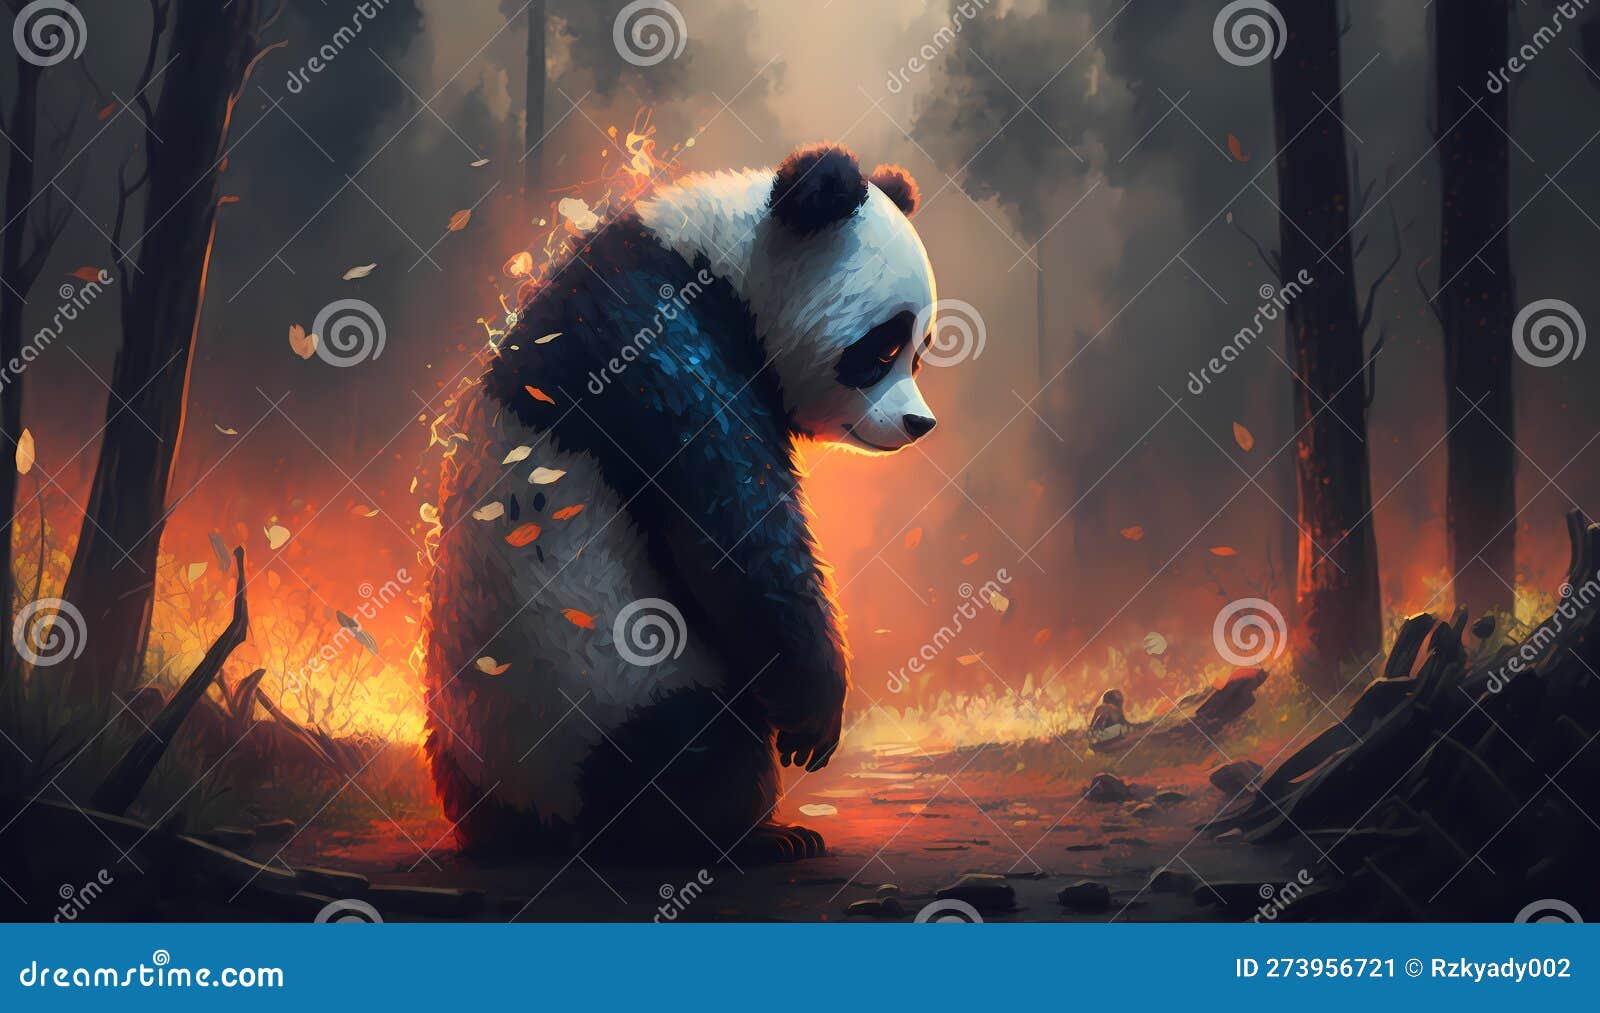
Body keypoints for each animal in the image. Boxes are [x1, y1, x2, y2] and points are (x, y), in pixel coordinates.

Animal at [421, 142, 939, 864]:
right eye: (881, 347)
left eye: (919, 352)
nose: (919, 424)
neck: (721, 257)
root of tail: (528, 819)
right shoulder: (656, 334)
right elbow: (734, 521)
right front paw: (815, 709)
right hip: (594, 684)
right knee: (691, 748)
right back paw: (745, 834)